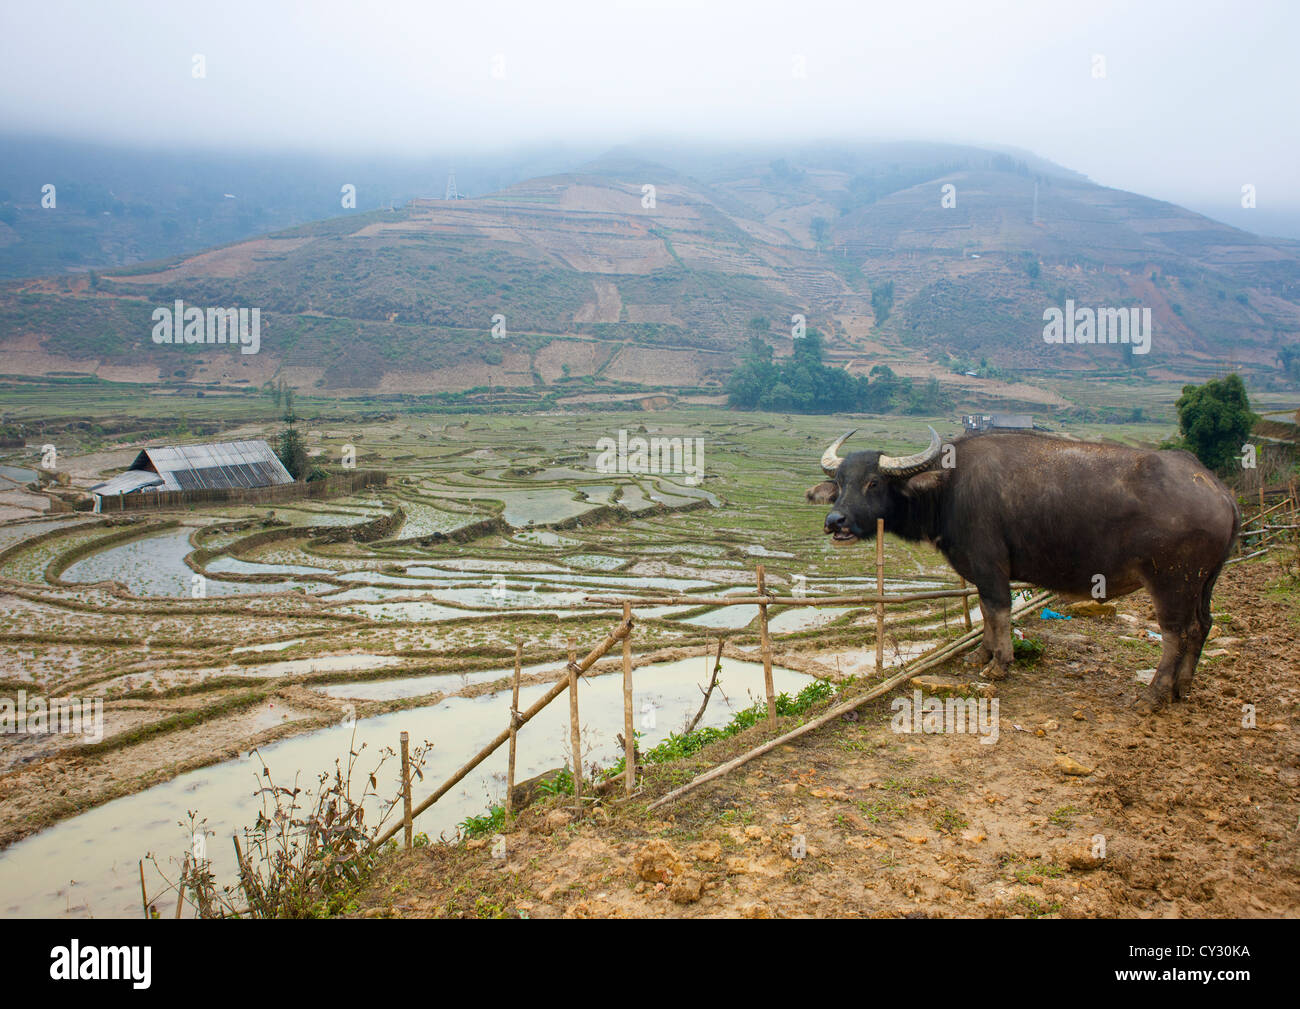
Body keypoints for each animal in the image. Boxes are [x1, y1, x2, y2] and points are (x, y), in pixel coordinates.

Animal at [807, 427, 1239, 710]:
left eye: (873, 483)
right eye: (840, 482)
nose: (835, 521)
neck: (948, 487)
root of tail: (1219, 491)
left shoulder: (991, 567)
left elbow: (999, 611)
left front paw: (999, 665)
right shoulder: (980, 574)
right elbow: (984, 612)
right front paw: (979, 656)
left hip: (1172, 582)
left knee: (1175, 633)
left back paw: (1154, 694)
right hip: (1204, 584)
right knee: (1202, 626)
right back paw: (1183, 687)